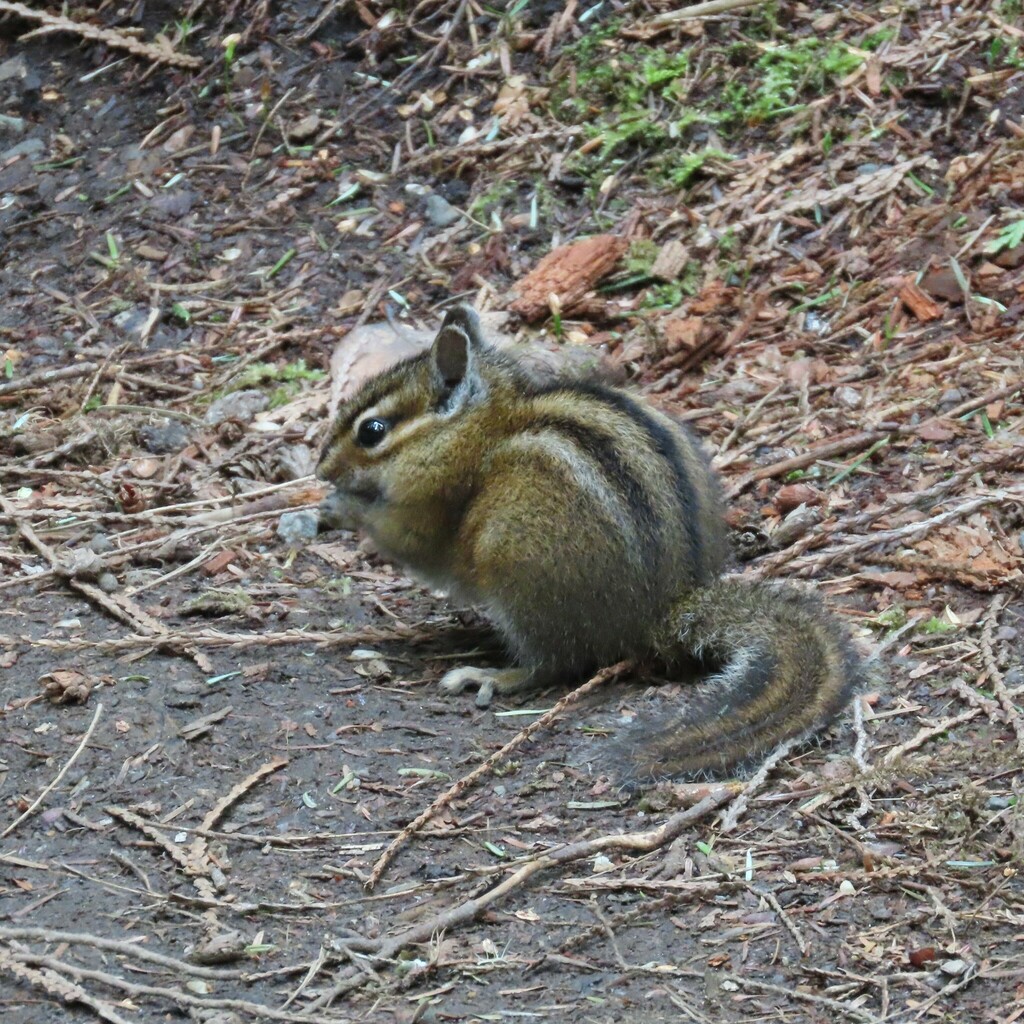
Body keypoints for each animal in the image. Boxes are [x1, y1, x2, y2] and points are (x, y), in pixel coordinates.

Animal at [317, 305, 863, 778]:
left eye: (372, 431)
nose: (321, 468)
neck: (481, 428)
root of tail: (662, 614)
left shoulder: (431, 506)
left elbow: (409, 542)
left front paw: (338, 507)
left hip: (519, 575)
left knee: (552, 664)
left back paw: (489, 676)